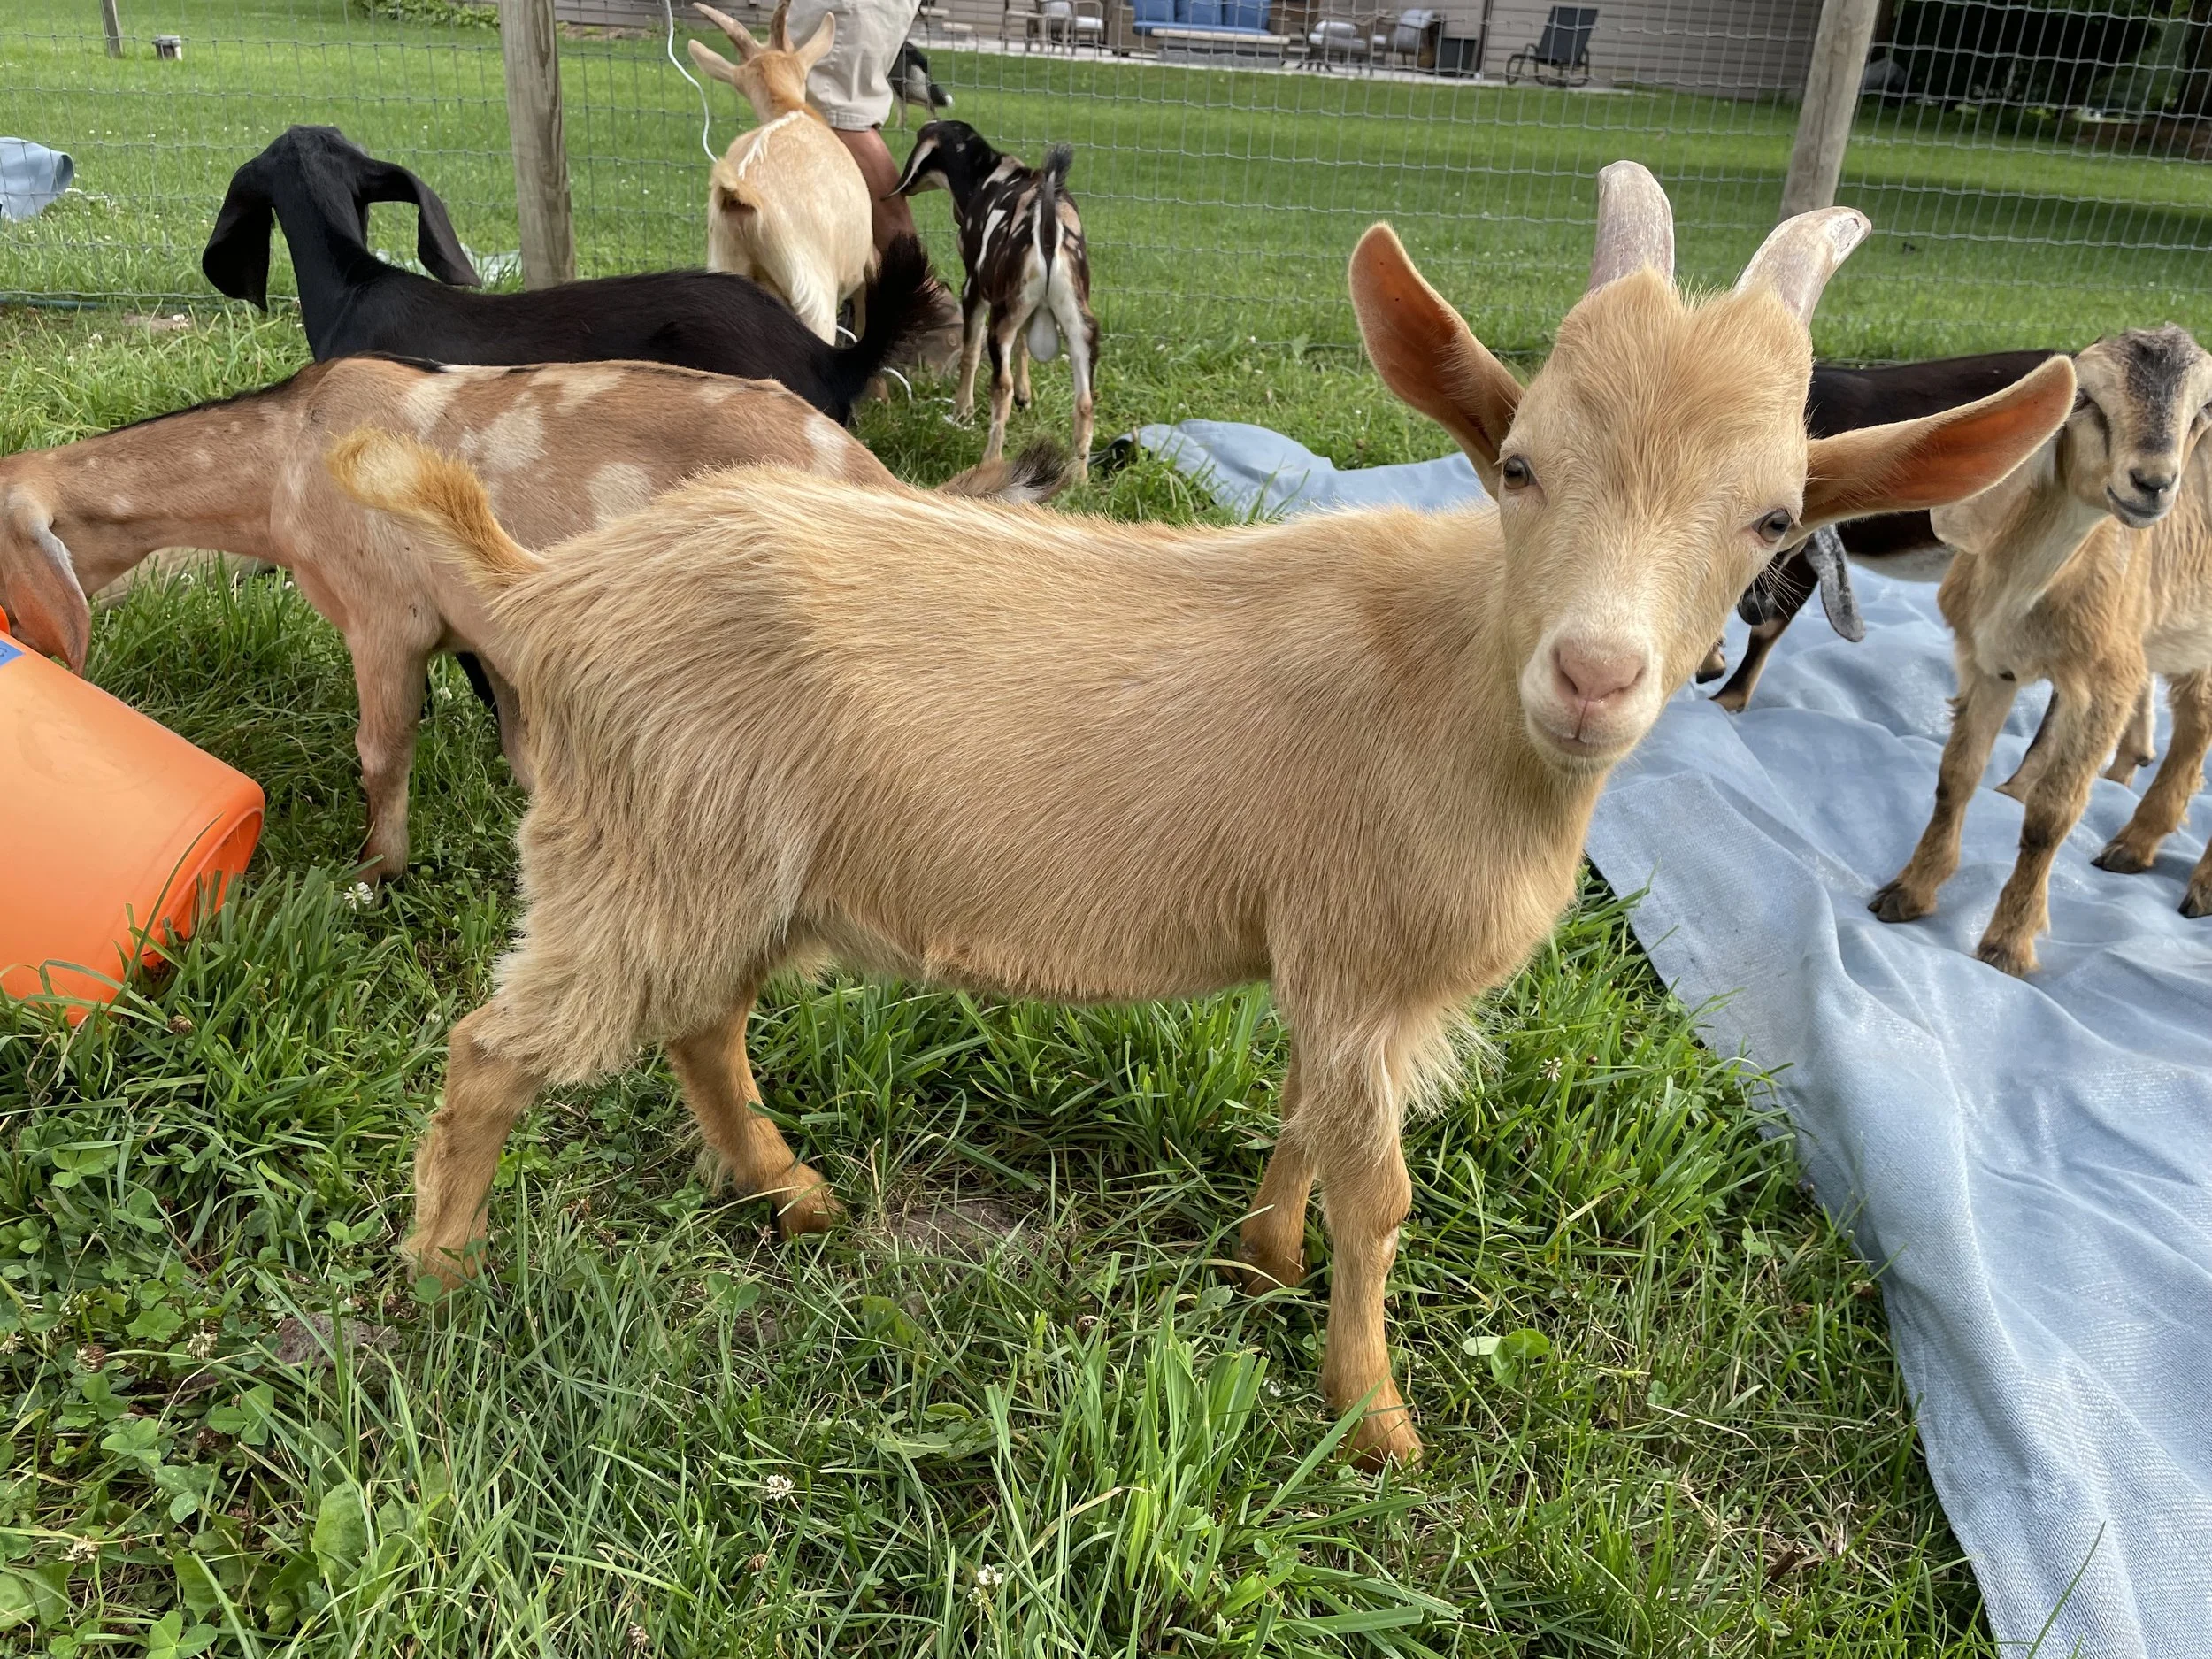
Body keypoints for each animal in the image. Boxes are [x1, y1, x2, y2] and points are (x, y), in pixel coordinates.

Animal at [0, 356, 1061, 880]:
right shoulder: (495, 632)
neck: (282, 456)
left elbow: (381, 752)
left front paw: (372, 873)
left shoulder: (383, 620)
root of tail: (878, 479)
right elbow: (524, 752)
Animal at [325, 163, 2070, 1467]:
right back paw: (438, 1278)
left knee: (701, 1021)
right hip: (643, 857)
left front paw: (1263, 1260)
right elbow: (1382, 1190)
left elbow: (1305, 1123)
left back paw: (785, 1189)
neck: (1457, 682)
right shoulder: (1366, 959)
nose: (1596, 675)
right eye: (1516, 464)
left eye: (1774, 517)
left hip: (724, 866)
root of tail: (546, 592)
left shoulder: (1332, 972)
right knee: (496, 1049)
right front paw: (1374, 1419)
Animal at [893, 120, 1098, 474]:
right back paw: (1079, 478)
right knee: (1084, 402)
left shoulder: (973, 288)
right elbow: (1024, 346)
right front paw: (1026, 398)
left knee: (1001, 386)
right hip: (1078, 325)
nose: (901, 188)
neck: (987, 176)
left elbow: (969, 354)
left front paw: (962, 411)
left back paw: (991, 461)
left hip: (999, 324)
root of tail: (1047, 226)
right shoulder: (1022, 308)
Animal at [1872, 325, 2212, 972]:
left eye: (2199, 412)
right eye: (2088, 400)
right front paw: (1906, 892)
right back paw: (2133, 847)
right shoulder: (1987, 666)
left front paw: (2007, 943)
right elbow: (1954, 778)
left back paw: (2188, 878)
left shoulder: (2105, 684)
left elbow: (2050, 817)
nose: (2154, 484)